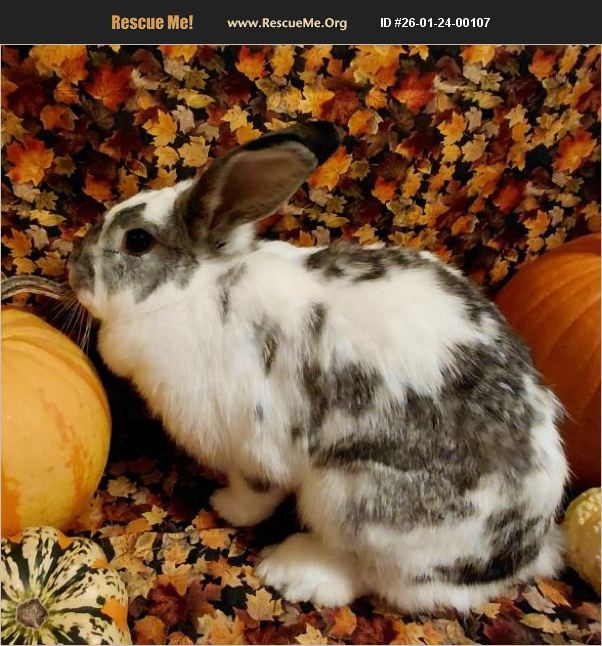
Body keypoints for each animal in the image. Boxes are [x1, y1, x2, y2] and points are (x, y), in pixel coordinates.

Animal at [68, 121, 568, 612]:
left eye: (136, 240)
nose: (73, 267)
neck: (193, 291)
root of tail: (518, 556)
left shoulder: (252, 446)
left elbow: (255, 493)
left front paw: (225, 506)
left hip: (351, 499)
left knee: (370, 575)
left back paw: (295, 571)